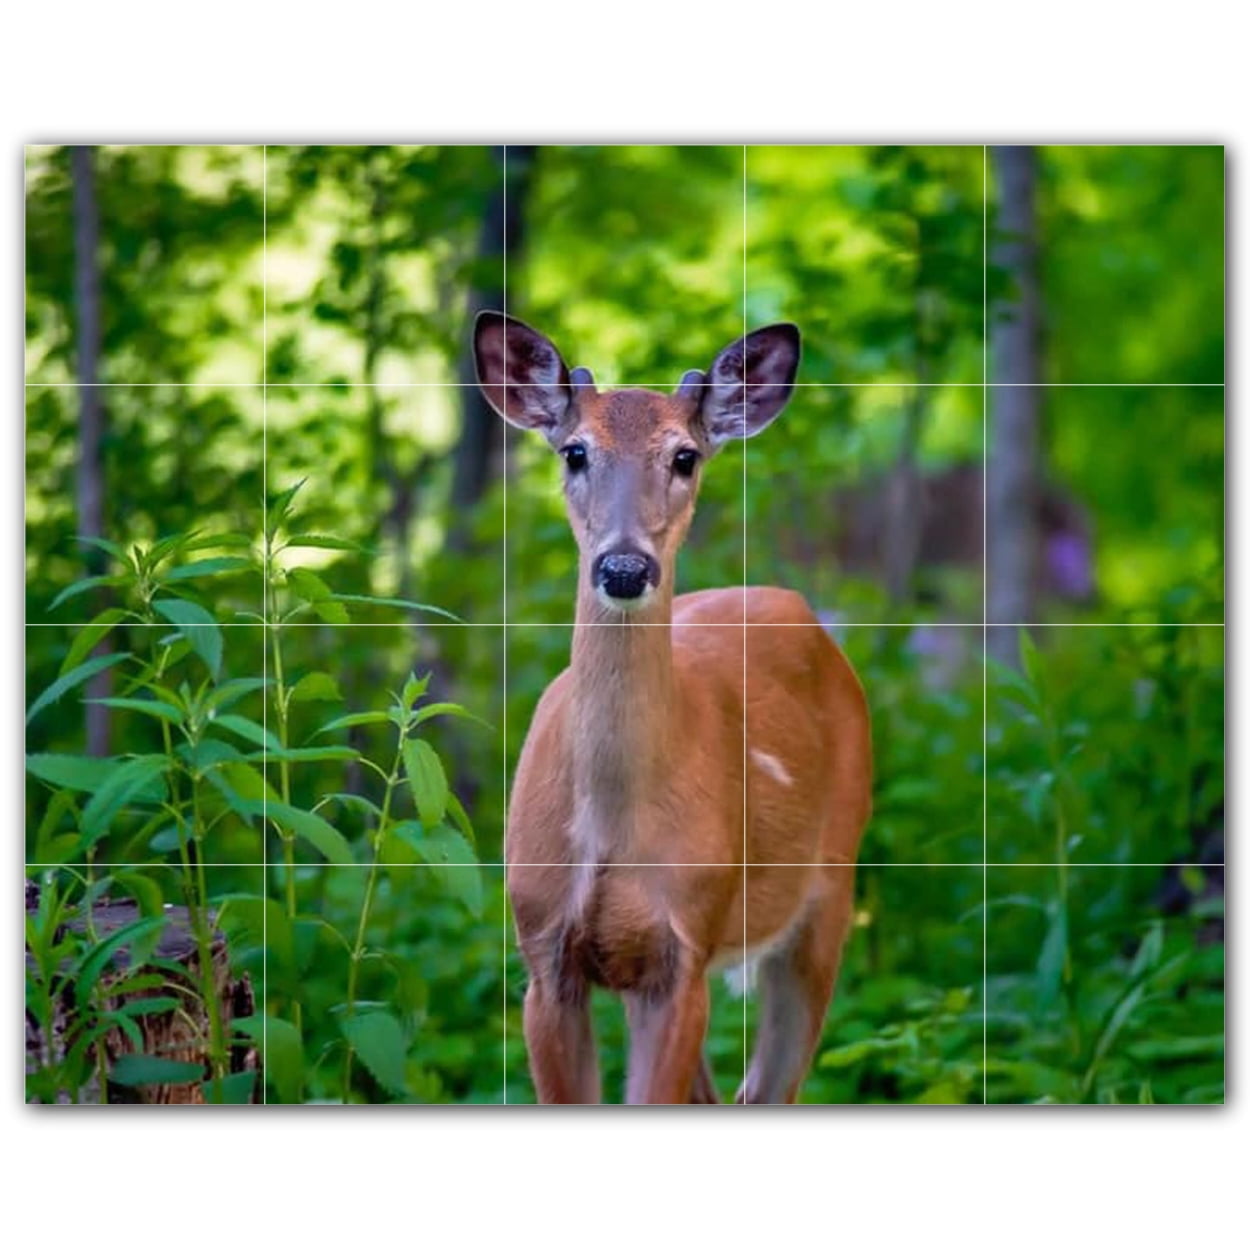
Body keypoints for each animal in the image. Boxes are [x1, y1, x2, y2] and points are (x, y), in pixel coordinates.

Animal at [475, 312, 872, 1104]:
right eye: (574, 450)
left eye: (685, 456)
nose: (625, 568)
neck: (608, 826)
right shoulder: (543, 955)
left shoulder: (684, 943)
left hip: (828, 893)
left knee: (770, 1089)